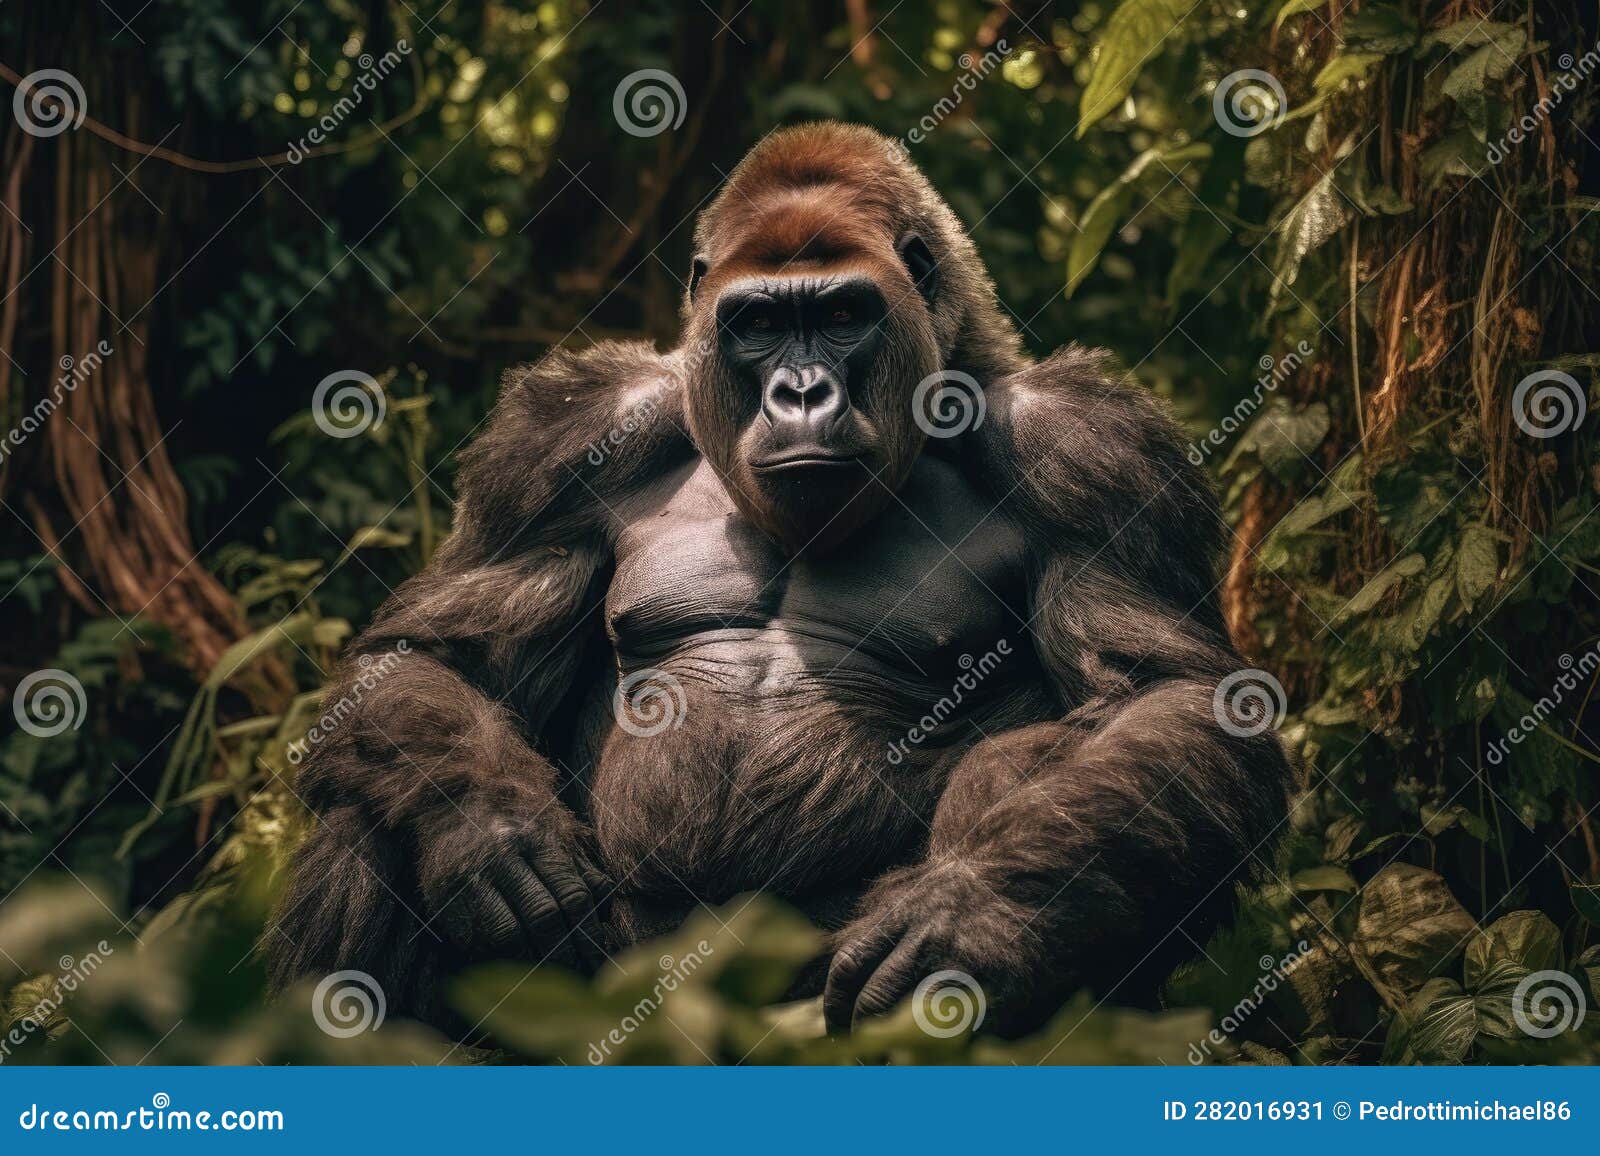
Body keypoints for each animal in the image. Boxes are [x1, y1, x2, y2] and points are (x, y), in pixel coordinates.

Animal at [268, 122, 1290, 1037]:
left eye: (840, 316)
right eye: (758, 325)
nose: (801, 393)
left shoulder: (1093, 452)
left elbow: (1176, 697)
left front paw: (971, 917)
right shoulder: (560, 440)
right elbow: (438, 660)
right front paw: (485, 827)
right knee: (374, 816)